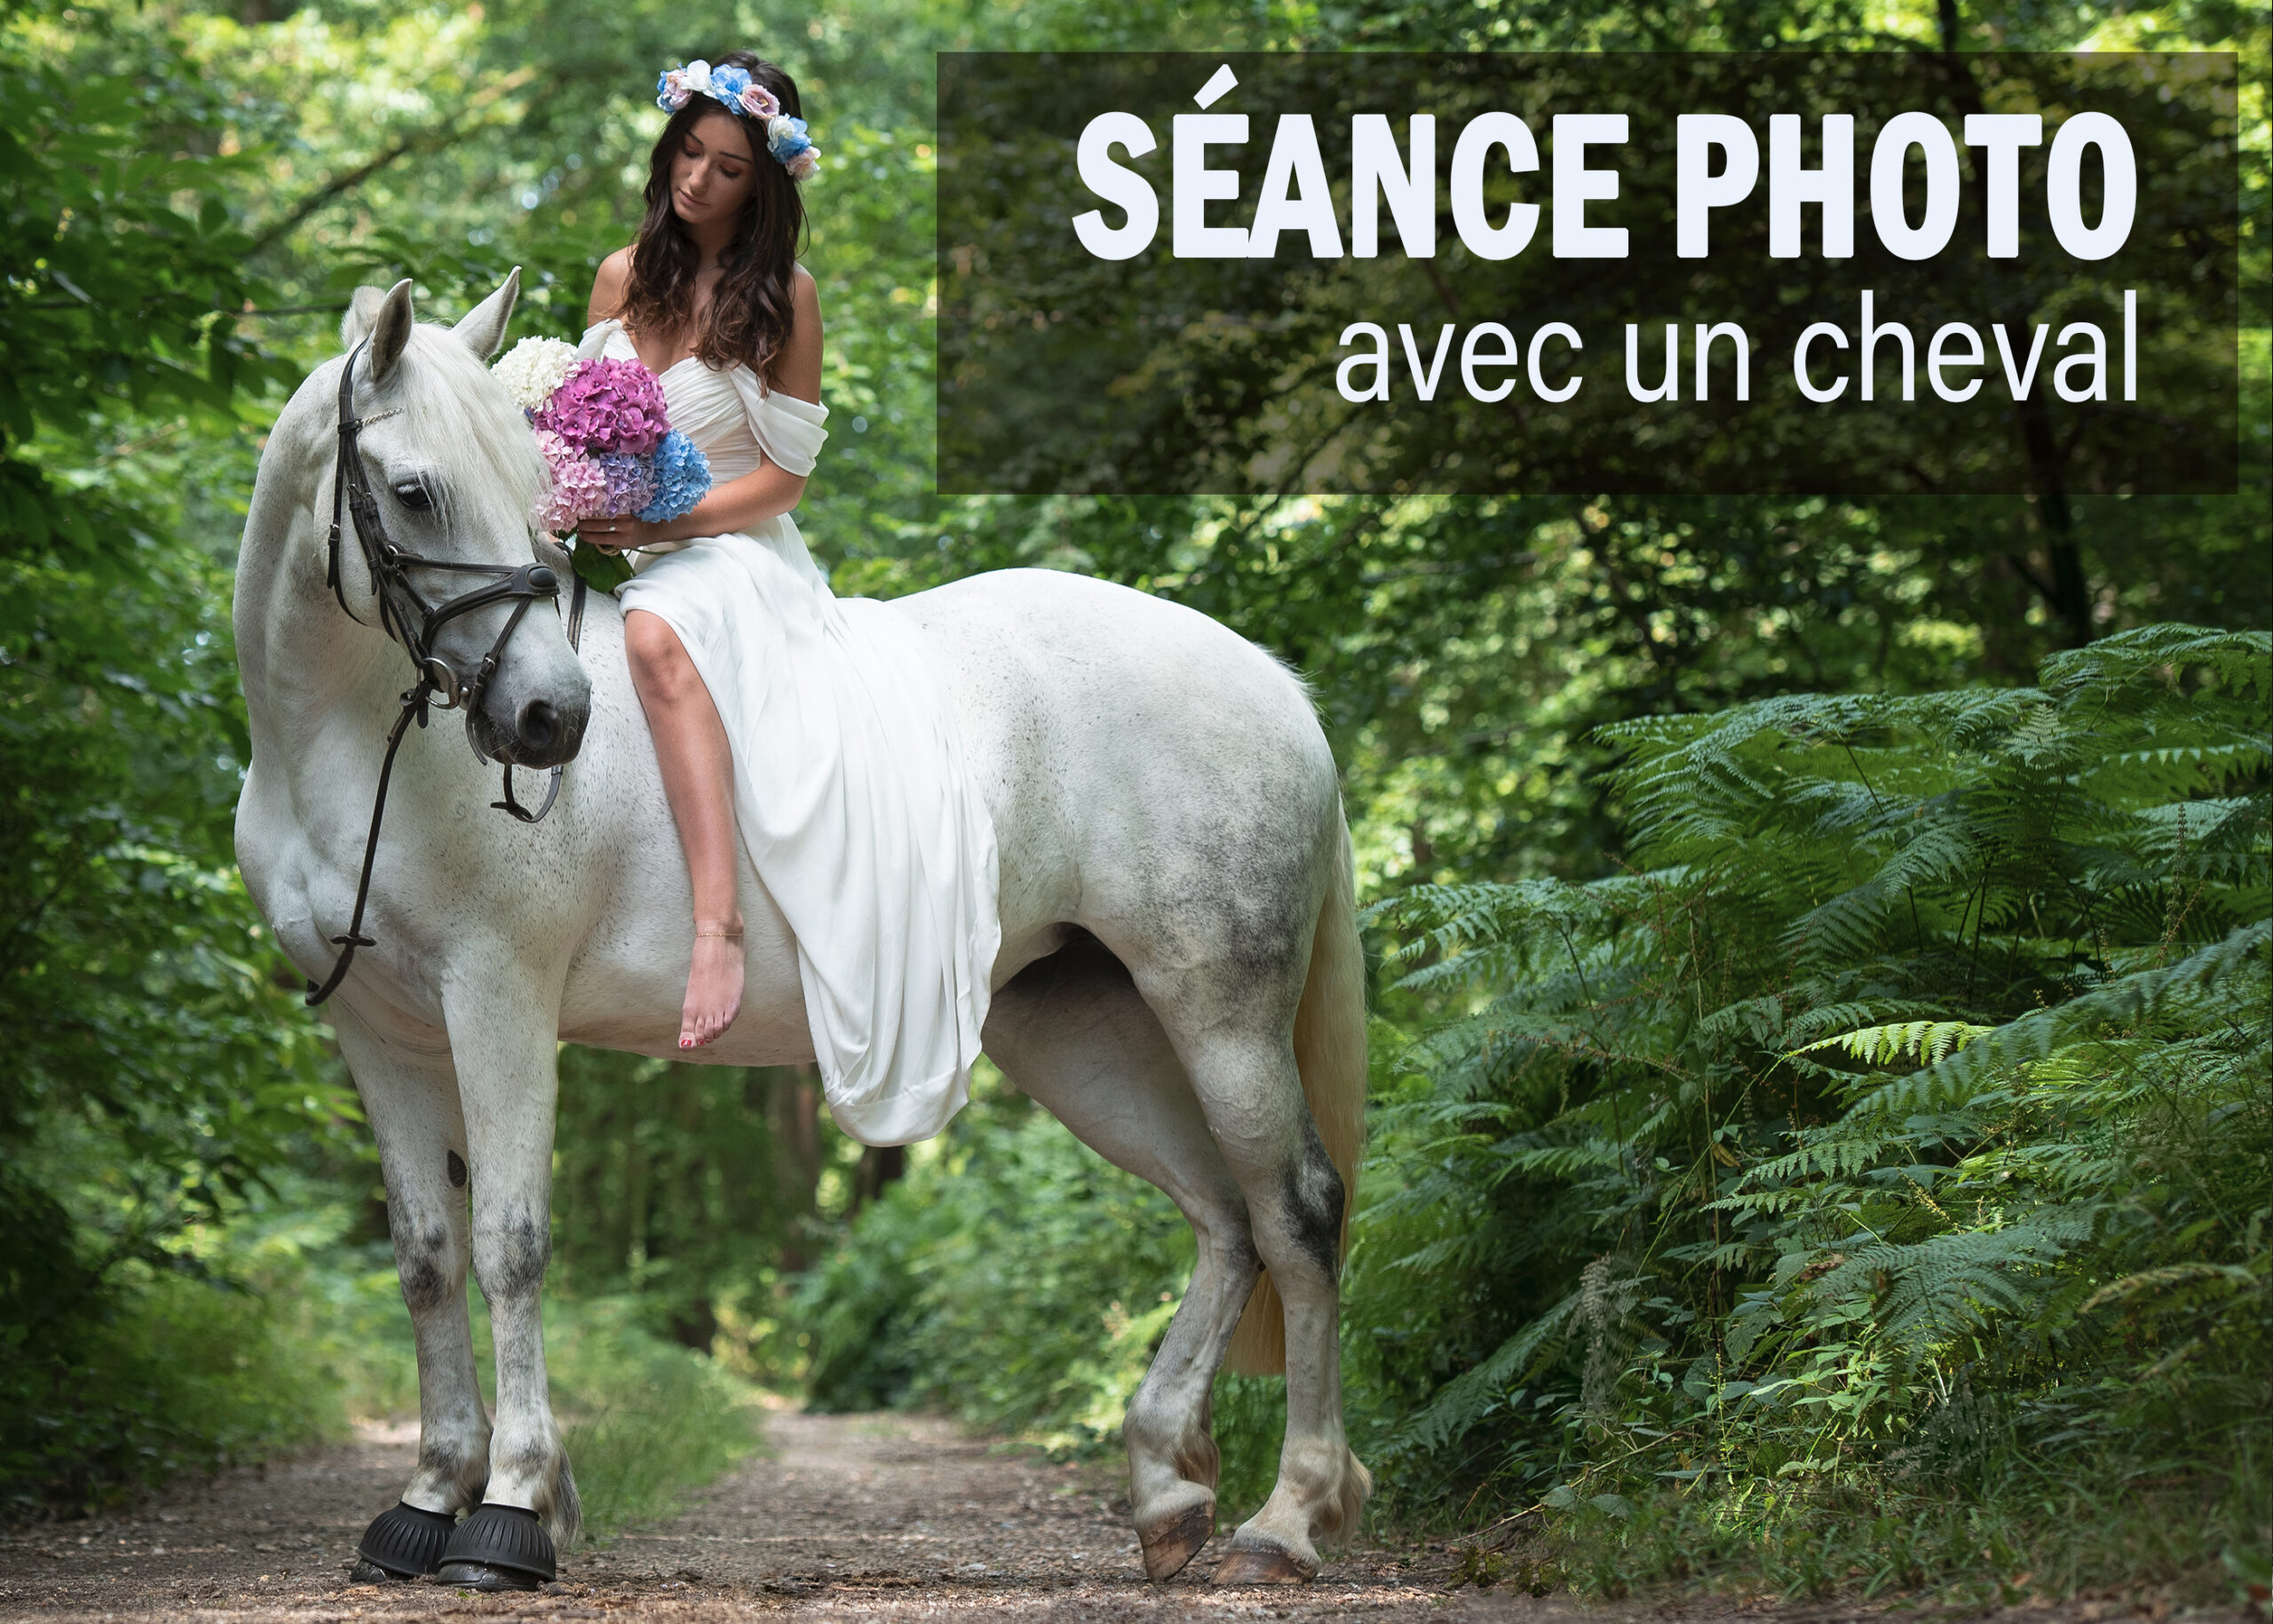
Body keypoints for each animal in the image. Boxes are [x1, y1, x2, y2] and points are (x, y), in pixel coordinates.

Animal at [232, 271, 1370, 1591]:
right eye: (415, 491)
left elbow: (511, 1242)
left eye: (531, 491)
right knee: (1224, 1218)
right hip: (1081, 1031)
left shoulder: (498, 1003)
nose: (549, 716)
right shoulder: (381, 1031)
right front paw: (425, 1501)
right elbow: (426, 1255)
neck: (355, 747)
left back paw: (1287, 1515)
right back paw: (1167, 1486)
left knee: (1296, 1211)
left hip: (1219, 1012)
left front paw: (509, 1511)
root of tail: (1273, 686)